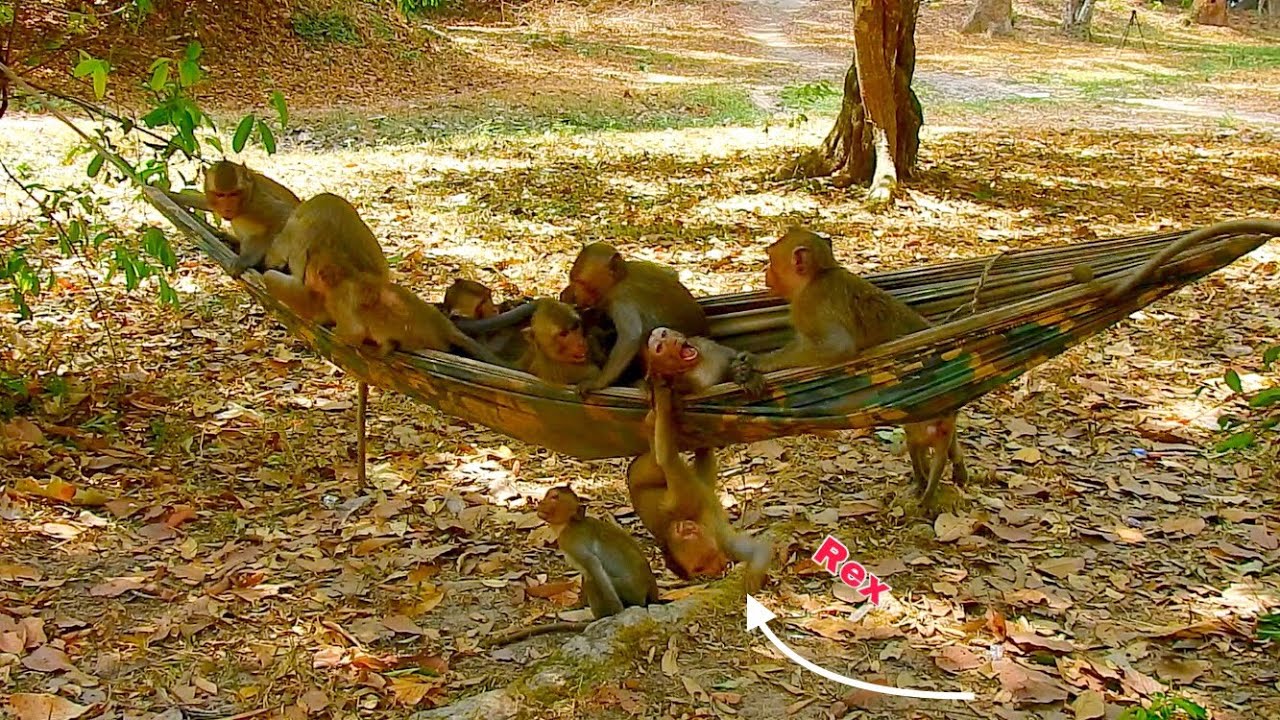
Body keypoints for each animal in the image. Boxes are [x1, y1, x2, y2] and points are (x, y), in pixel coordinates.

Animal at [164, 161, 300, 277]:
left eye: (234, 194)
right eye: (220, 195)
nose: (227, 208)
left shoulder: (257, 203)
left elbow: (285, 215)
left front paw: (245, 260)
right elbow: (206, 203)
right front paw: (171, 195)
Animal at [536, 486, 661, 620]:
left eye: (554, 497)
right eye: (548, 495)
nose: (541, 503)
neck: (569, 523)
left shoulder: (569, 540)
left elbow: (593, 563)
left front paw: (616, 613)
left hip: (629, 592)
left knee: (592, 579)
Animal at [560, 242, 710, 396]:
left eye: (580, 283)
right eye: (572, 280)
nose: (573, 294)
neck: (620, 279)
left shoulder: (621, 299)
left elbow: (630, 338)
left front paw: (596, 383)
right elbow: (672, 273)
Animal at [626, 382, 772, 591]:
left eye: (704, 562)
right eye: (699, 569)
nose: (718, 569)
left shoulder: (691, 503)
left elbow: (667, 459)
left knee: (662, 458)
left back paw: (656, 410)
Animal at [736, 227, 968, 512]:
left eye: (770, 259)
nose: (765, 272)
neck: (819, 275)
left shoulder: (809, 304)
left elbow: (837, 347)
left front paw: (758, 364)